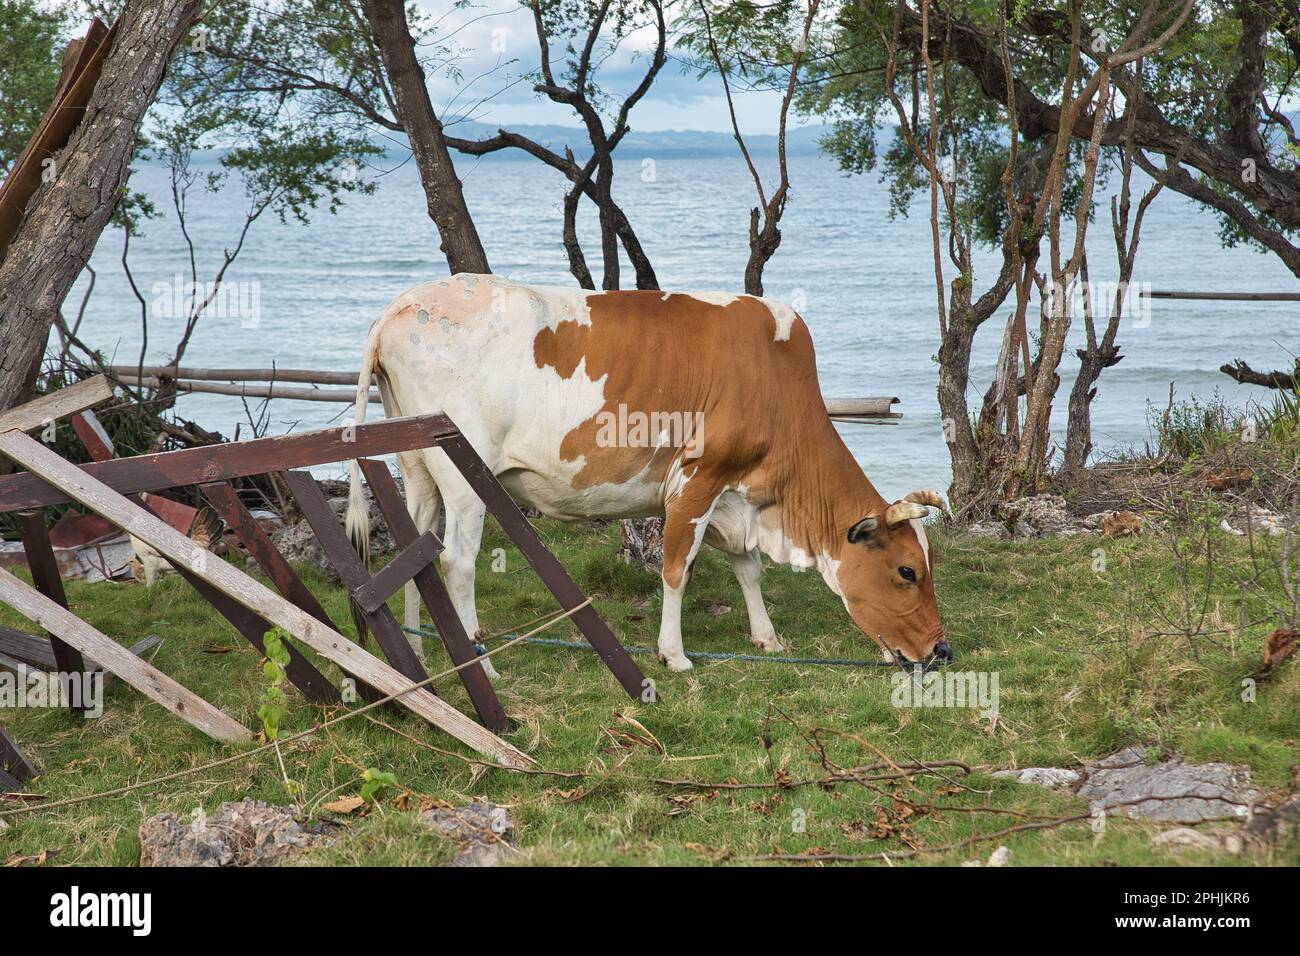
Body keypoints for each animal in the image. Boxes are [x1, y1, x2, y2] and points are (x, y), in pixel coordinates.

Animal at [345, 273, 949, 676]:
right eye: (907, 571)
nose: (941, 650)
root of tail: (402, 304)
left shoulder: (735, 495)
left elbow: (749, 570)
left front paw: (767, 638)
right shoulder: (697, 481)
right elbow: (676, 570)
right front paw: (675, 654)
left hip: (416, 466)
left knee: (416, 548)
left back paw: (420, 652)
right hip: (461, 472)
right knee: (458, 563)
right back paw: (481, 663)